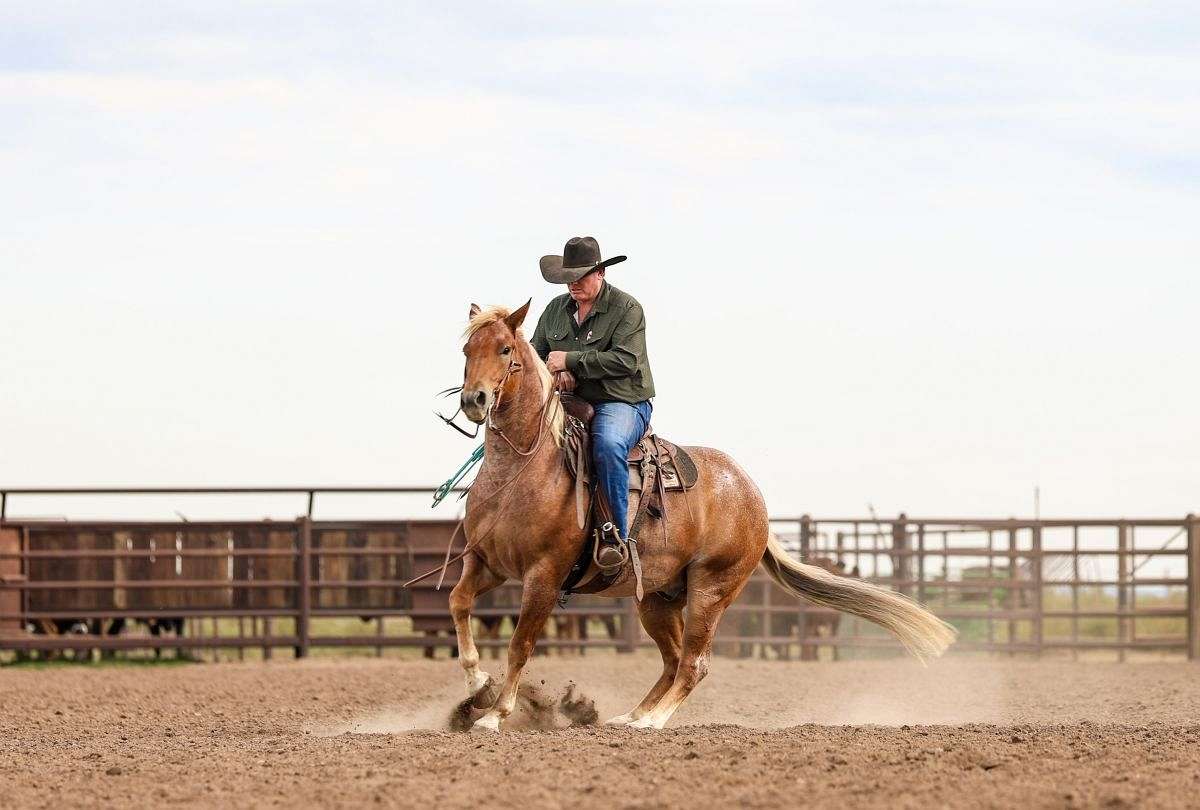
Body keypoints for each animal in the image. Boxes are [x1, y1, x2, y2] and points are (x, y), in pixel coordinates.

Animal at [446, 301, 956, 731]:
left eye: (506, 349)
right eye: (466, 348)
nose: (474, 400)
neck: (526, 469)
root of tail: (752, 496)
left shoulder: (544, 576)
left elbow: (520, 645)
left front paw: (494, 716)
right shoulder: (486, 564)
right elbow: (458, 603)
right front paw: (477, 687)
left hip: (711, 588)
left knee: (694, 663)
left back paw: (653, 722)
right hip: (657, 596)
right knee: (672, 661)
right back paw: (630, 717)